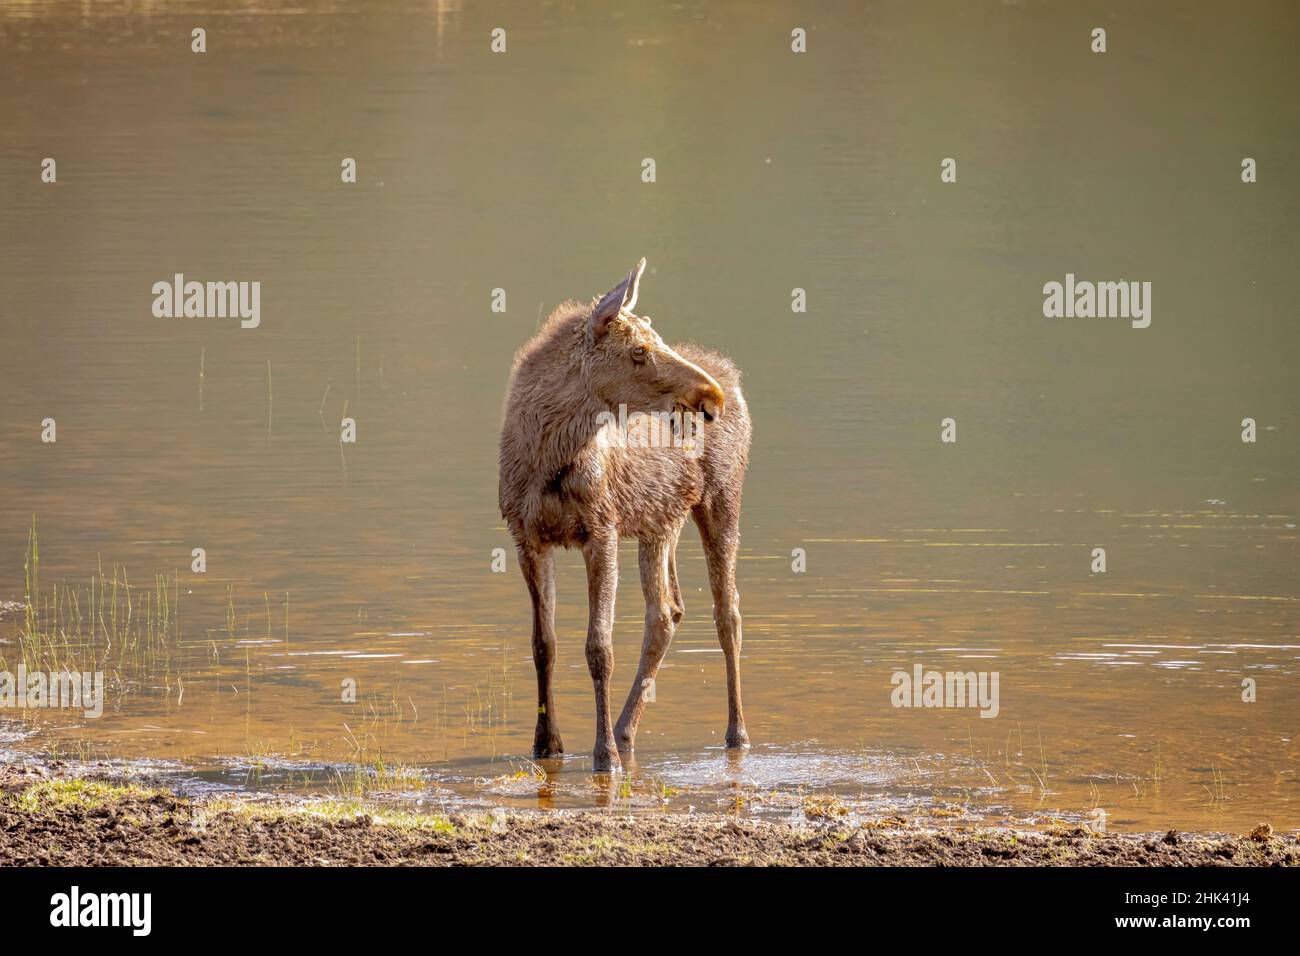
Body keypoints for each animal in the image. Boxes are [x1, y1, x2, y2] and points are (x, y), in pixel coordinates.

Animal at [498, 259, 751, 773]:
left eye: (655, 338)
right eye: (638, 350)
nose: (710, 397)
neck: (548, 457)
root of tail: (735, 378)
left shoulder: (603, 529)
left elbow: (599, 648)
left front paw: (604, 757)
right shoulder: (526, 537)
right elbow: (543, 644)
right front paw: (546, 743)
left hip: (721, 499)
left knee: (728, 613)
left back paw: (735, 733)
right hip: (661, 522)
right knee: (667, 613)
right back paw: (625, 728)